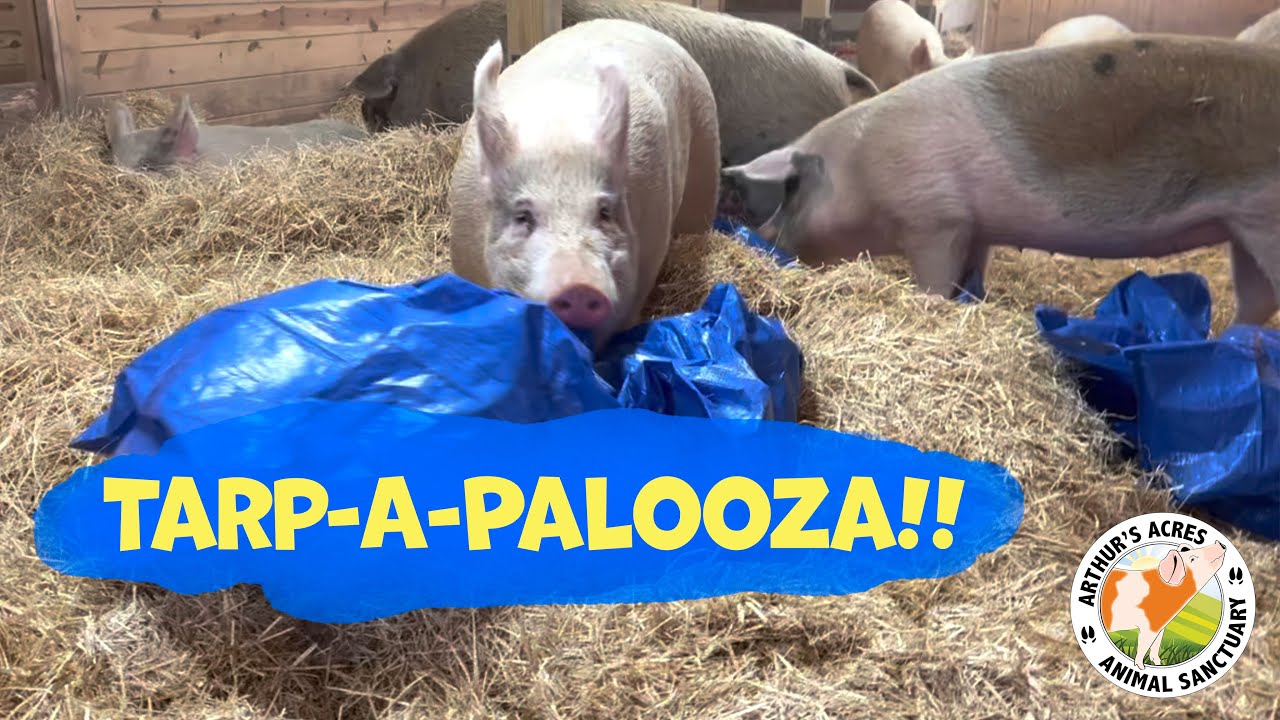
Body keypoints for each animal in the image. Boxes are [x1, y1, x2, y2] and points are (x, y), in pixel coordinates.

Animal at [720, 34, 1280, 327]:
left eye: (792, 190)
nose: (764, 236)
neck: (858, 168)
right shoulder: (975, 226)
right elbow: (972, 274)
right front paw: (972, 300)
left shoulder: (933, 218)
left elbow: (934, 281)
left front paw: (932, 306)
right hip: (1243, 228)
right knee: (1256, 304)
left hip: (1265, 222)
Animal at [1101, 542, 1227, 670]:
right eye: (1192, 559)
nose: (1219, 543)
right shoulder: (1148, 626)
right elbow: (1143, 647)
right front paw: (1141, 667)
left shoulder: (1160, 626)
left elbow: (1156, 645)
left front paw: (1158, 663)